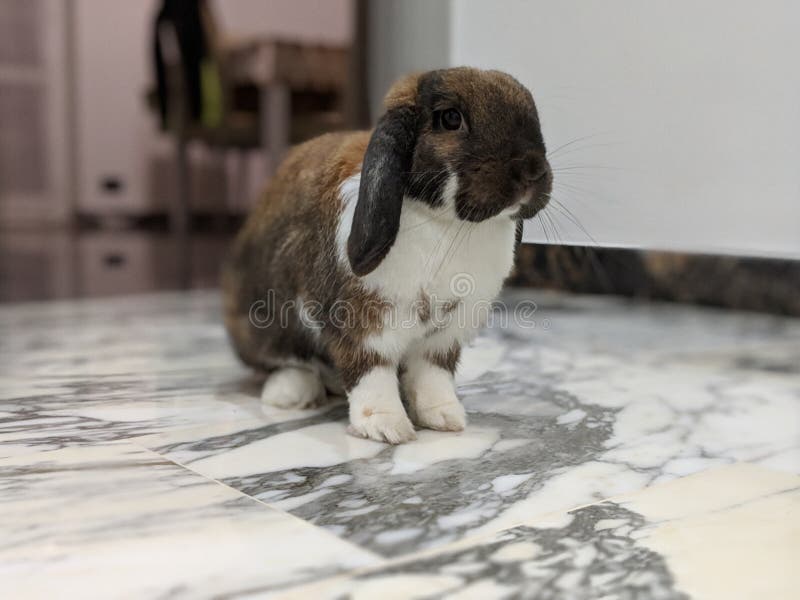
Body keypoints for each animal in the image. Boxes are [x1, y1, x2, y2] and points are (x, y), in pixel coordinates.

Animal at [222, 67, 552, 444]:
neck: (445, 222)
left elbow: (432, 375)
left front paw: (445, 417)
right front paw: (386, 426)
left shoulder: (444, 335)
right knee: (282, 362)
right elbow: (371, 372)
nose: (532, 169)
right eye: (451, 119)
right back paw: (291, 394)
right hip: (262, 325)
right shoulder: (366, 324)